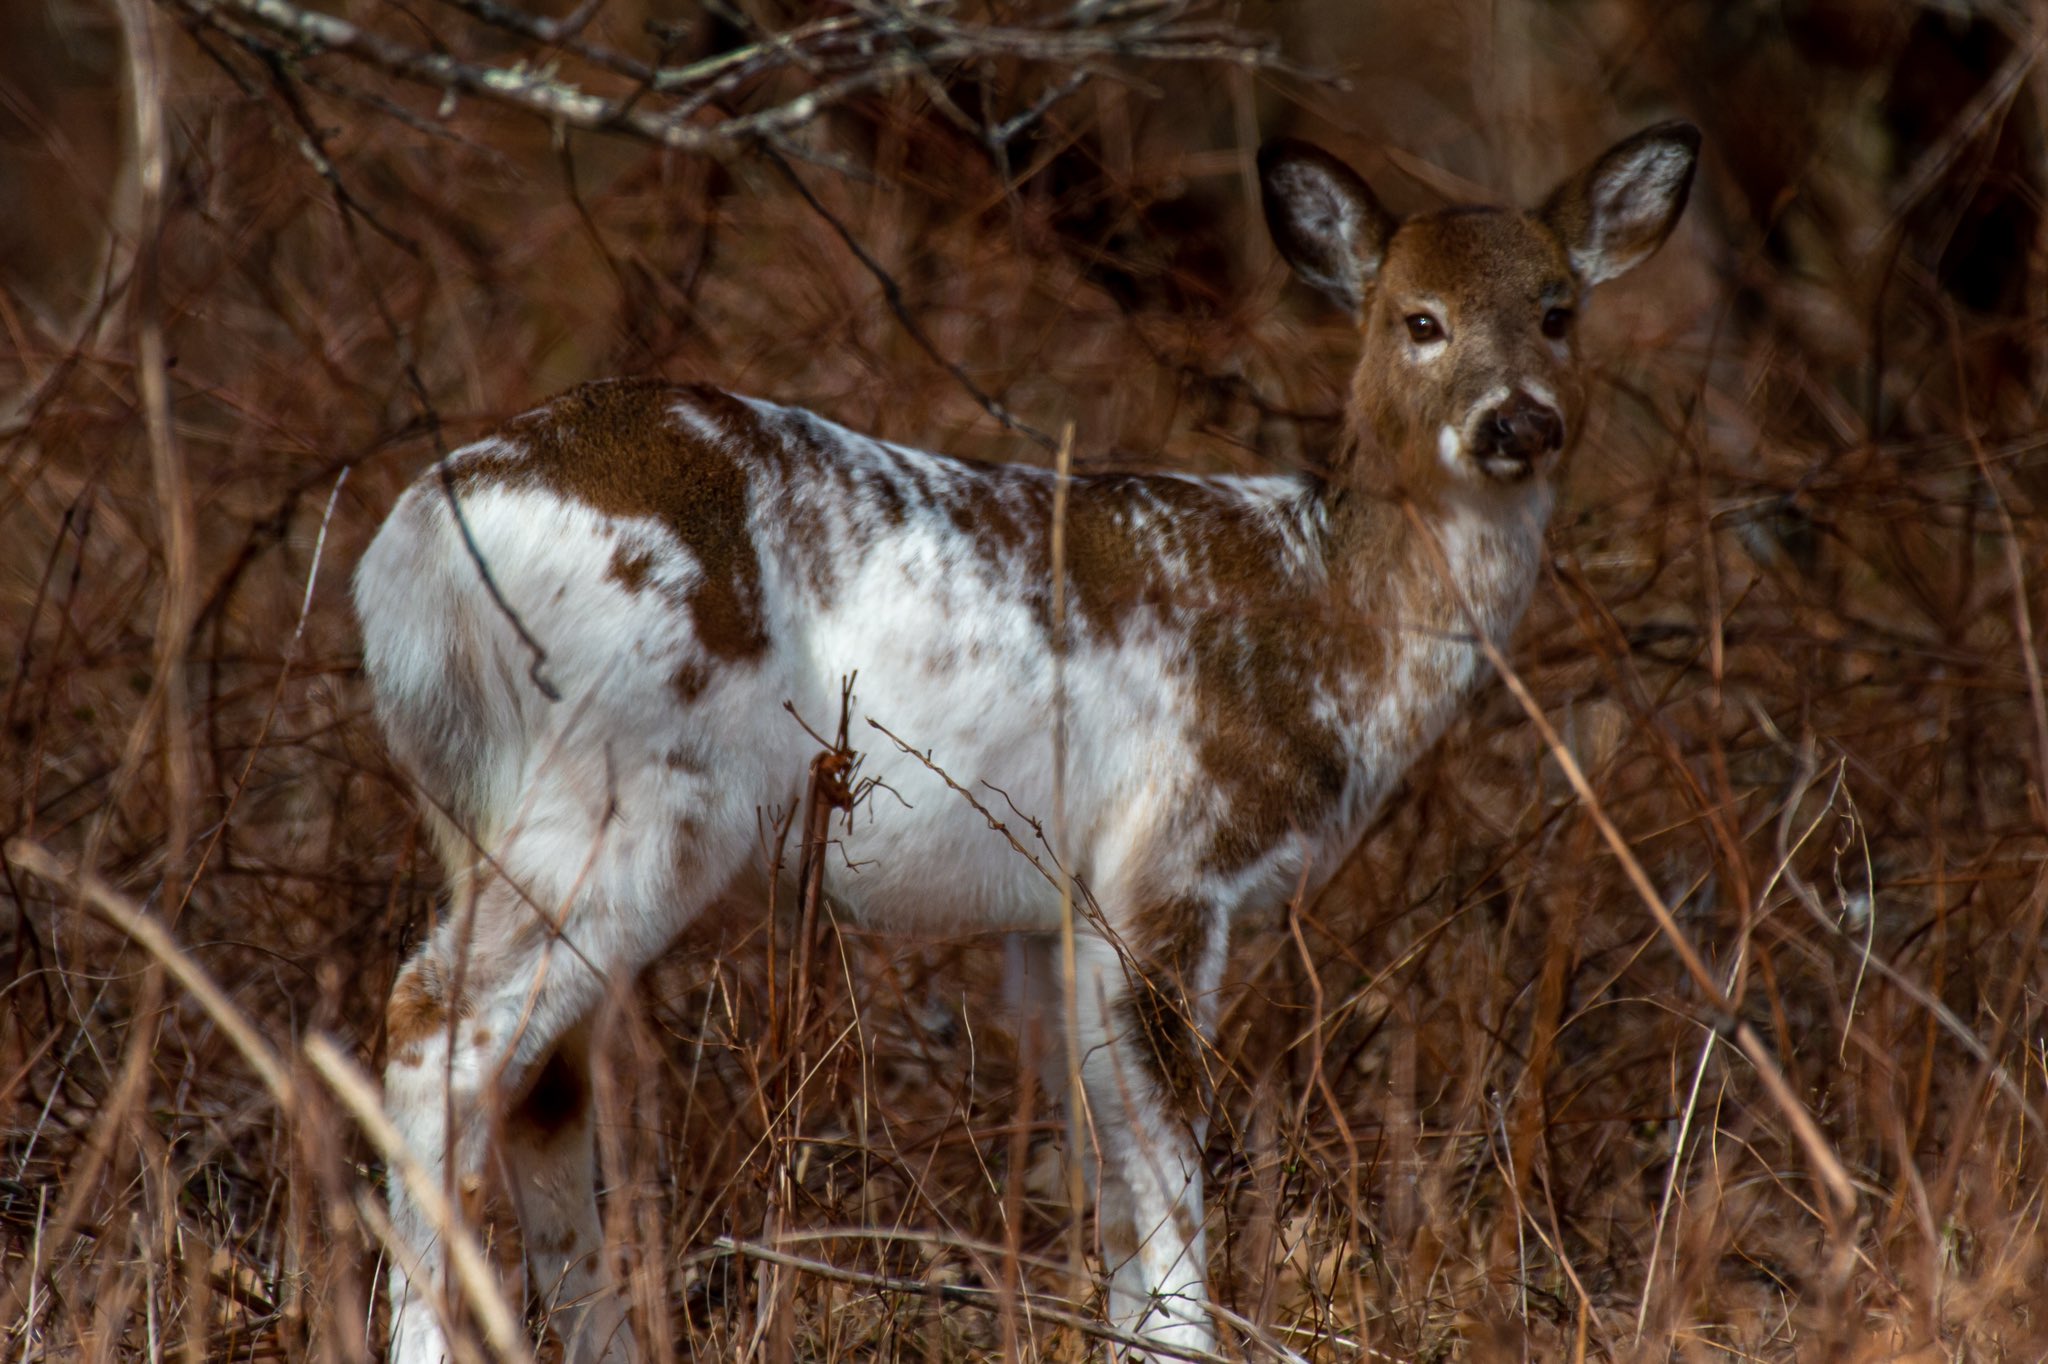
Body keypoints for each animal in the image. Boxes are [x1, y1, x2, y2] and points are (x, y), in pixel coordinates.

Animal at [353, 119, 1699, 1363]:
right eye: (1417, 320)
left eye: (1558, 311)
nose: (1516, 420)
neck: (1329, 607)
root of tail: (415, 551)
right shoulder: (1168, 855)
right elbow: (1166, 1151)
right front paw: (1189, 1340)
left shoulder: (1046, 911)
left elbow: (1102, 1166)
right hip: (633, 777)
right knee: (436, 1027)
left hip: (484, 800)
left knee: (539, 1079)